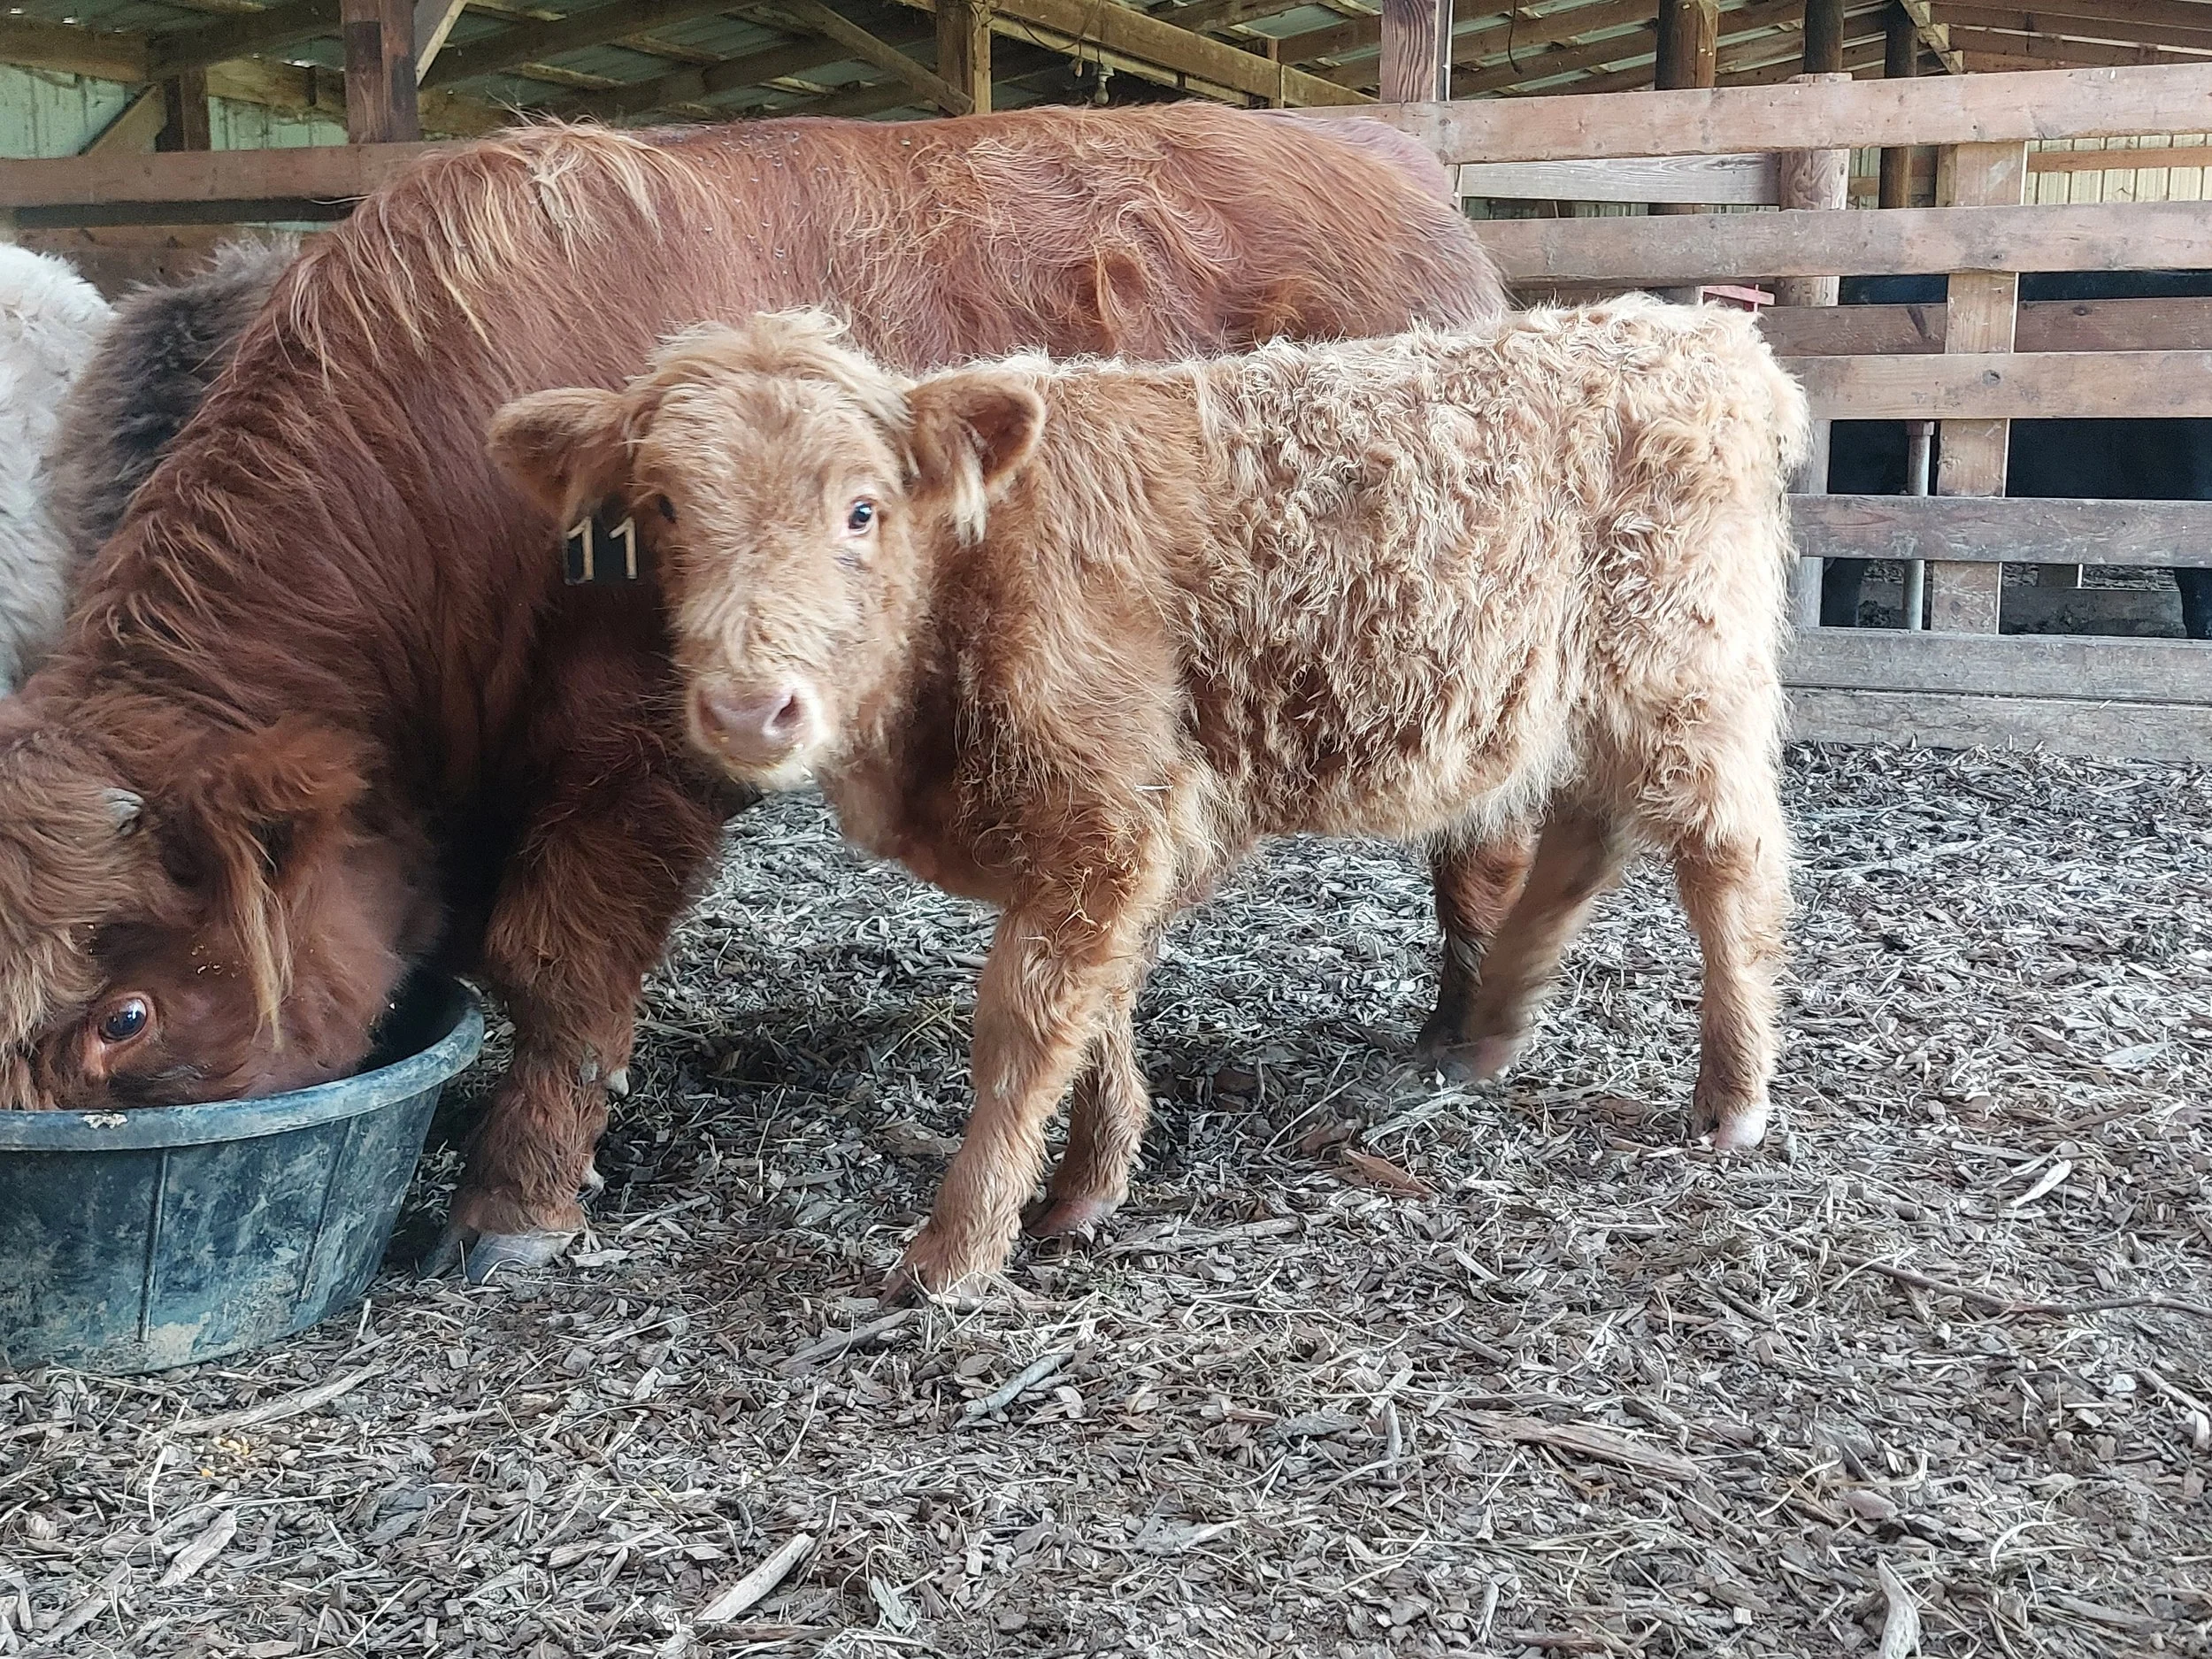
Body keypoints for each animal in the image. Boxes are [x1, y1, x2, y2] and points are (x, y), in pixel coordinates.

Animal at [0, 111, 1509, 1285]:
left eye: (124, 1016)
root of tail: (1385, 152)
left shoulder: (631, 755)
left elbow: (556, 968)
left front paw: (513, 1201)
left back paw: (1467, 1031)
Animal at [489, 299, 1811, 1294]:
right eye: (665, 508)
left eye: (861, 507)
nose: (750, 709)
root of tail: (1697, 330)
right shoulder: (1118, 837)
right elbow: (1099, 1001)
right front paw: (1086, 1185)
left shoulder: (1103, 818)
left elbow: (1024, 1022)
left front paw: (955, 1249)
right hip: (1585, 697)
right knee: (1587, 837)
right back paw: (1490, 1032)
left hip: (1687, 674)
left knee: (1729, 860)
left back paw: (1731, 1097)